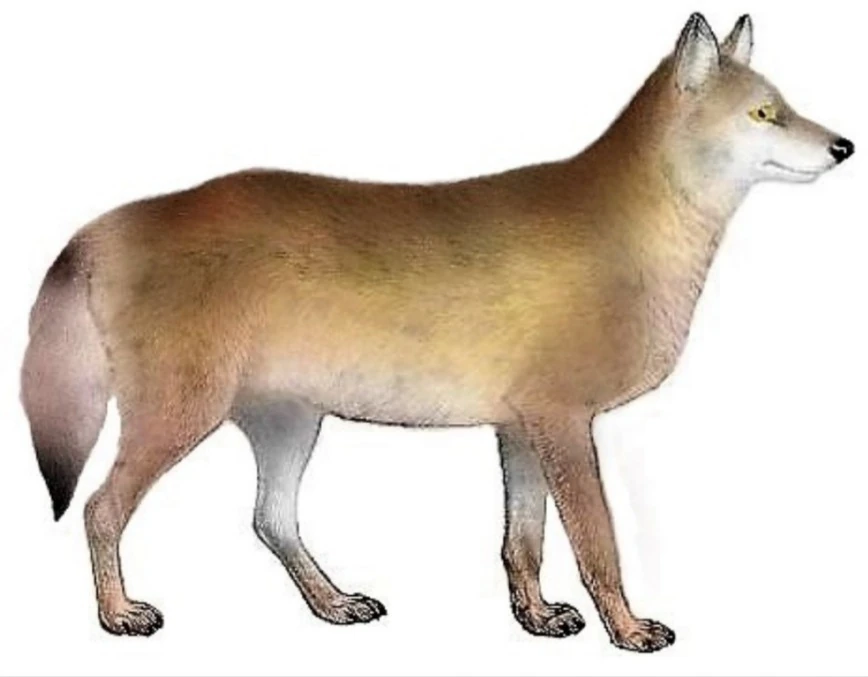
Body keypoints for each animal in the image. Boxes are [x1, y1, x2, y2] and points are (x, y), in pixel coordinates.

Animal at [20, 13, 854, 651]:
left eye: (786, 106)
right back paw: (118, 615)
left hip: (289, 425)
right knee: (100, 509)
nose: (844, 146)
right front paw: (628, 631)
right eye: (765, 114)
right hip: (181, 416)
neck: (632, 235)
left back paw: (333, 603)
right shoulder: (565, 421)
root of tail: (110, 222)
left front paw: (536, 619)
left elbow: (524, 543)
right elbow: (599, 547)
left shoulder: (523, 427)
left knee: (270, 520)